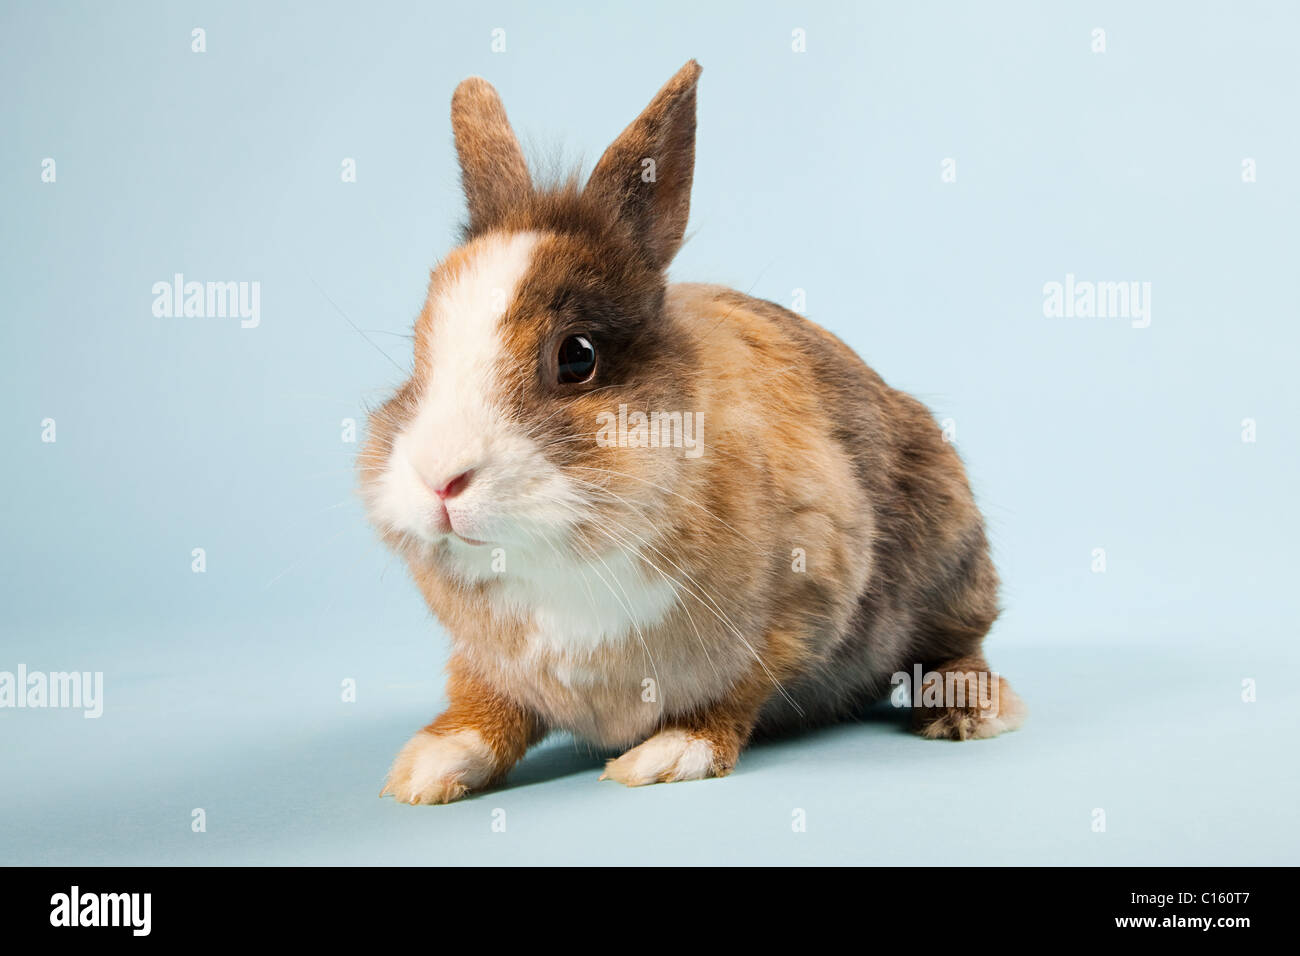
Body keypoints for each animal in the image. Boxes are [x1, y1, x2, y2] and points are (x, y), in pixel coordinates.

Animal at [360, 59, 1024, 805]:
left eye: (577, 356)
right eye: (420, 350)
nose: (439, 480)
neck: (565, 567)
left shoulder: (791, 610)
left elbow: (729, 697)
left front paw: (668, 755)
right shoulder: (488, 661)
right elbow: (486, 705)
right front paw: (426, 768)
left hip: (952, 556)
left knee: (956, 646)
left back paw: (965, 712)